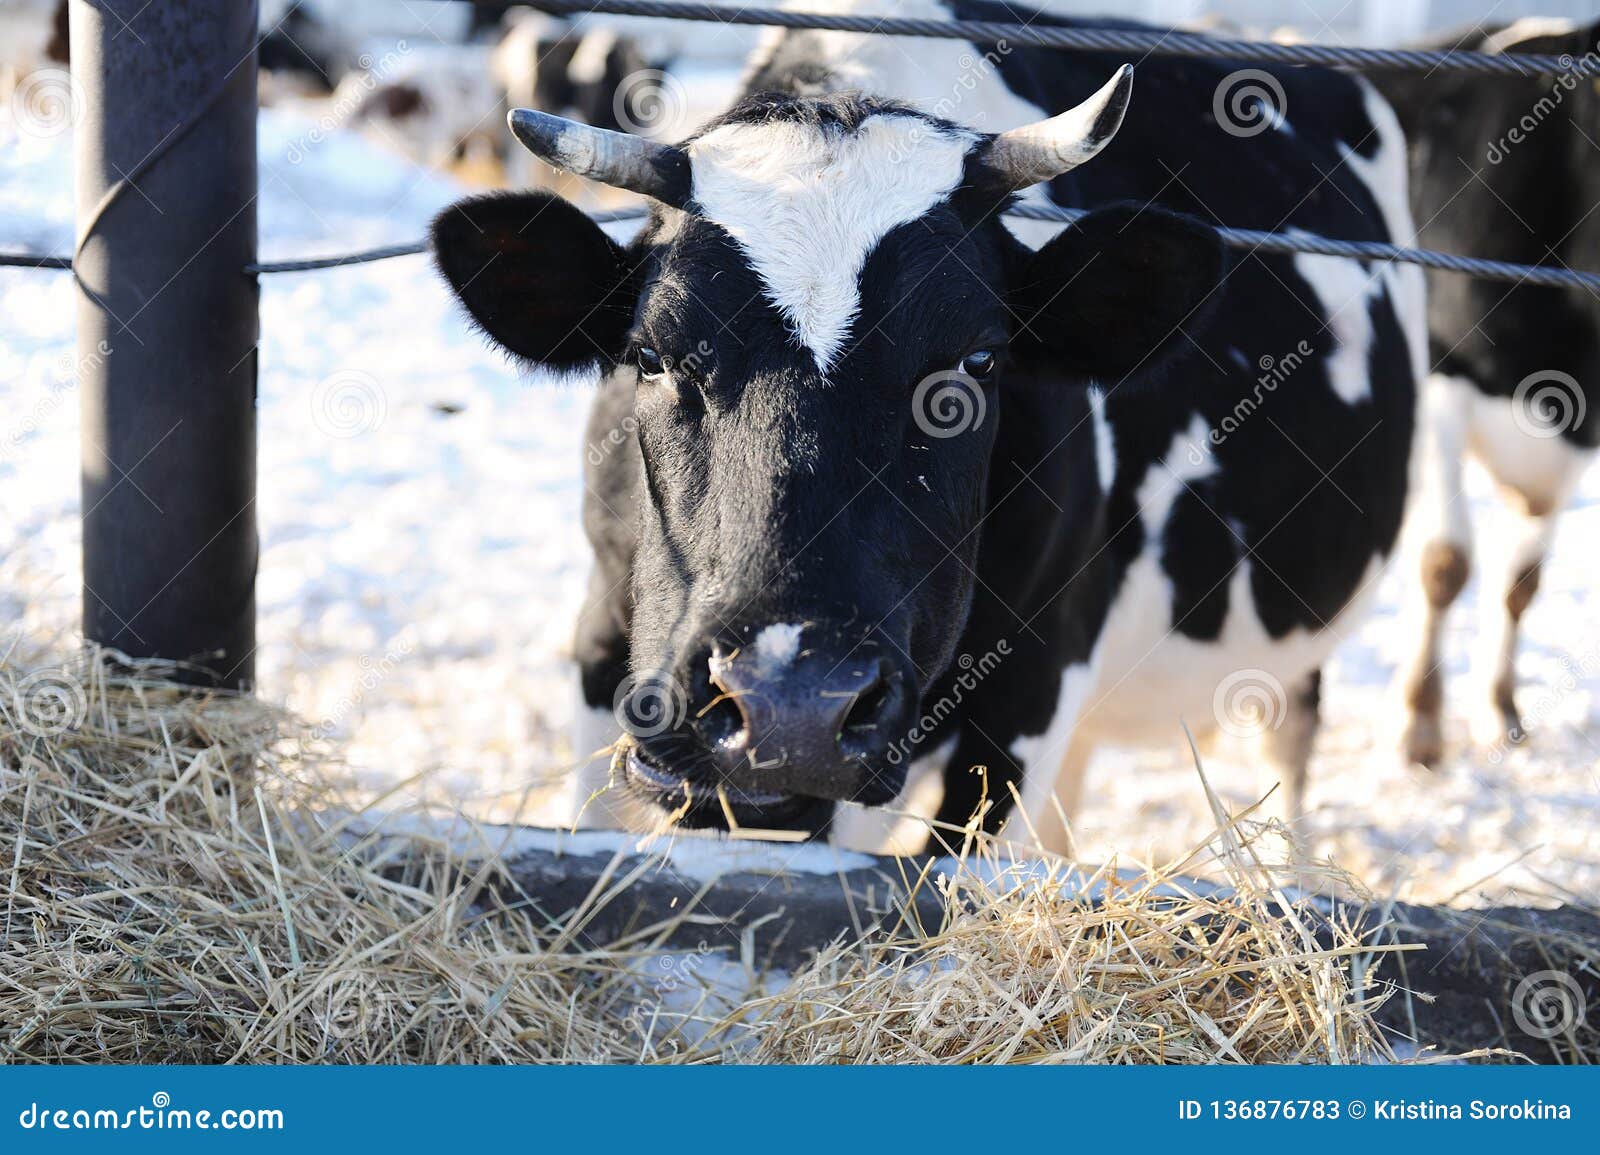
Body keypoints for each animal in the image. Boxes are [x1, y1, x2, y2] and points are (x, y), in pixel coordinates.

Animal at [430, 0, 1425, 852]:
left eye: (975, 365)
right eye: (651, 355)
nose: (789, 704)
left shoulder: (1029, 697)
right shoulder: (603, 643)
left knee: (1291, 739)